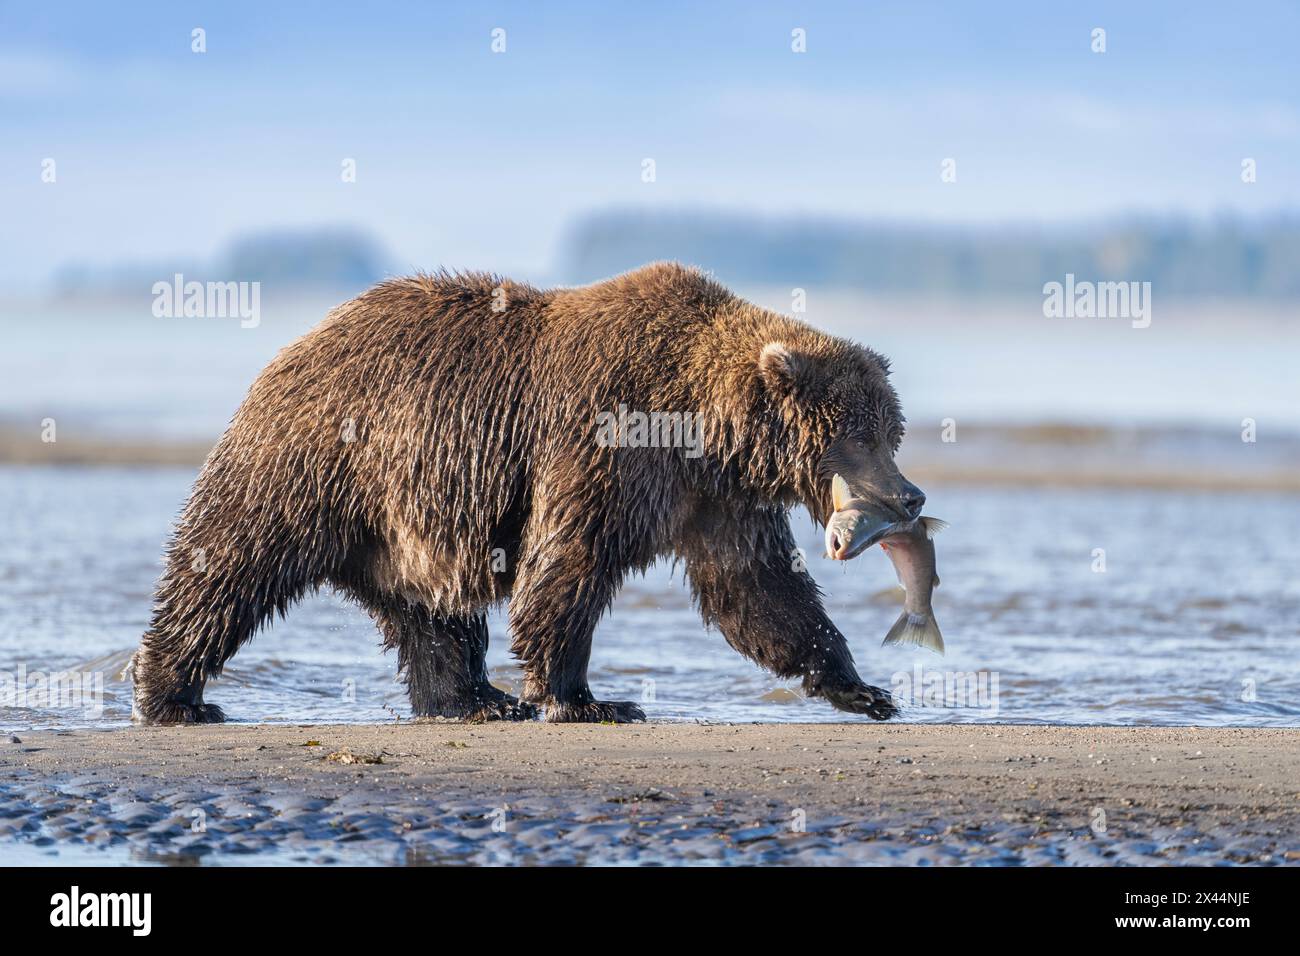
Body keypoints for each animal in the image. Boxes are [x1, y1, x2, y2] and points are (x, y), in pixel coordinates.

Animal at [131, 262, 926, 725]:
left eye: (892, 430)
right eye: (858, 434)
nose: (911, 497)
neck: (701, 427)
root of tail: (291, 348)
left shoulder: (716, 499)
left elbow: (759, 590)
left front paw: (863, 687)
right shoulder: (607, 437)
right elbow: (570, 561)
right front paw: (587, 698)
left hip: (405, 525)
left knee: (436, 614)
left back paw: (474, 698)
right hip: (319, 462)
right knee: (232, 559)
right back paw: (172, 694)